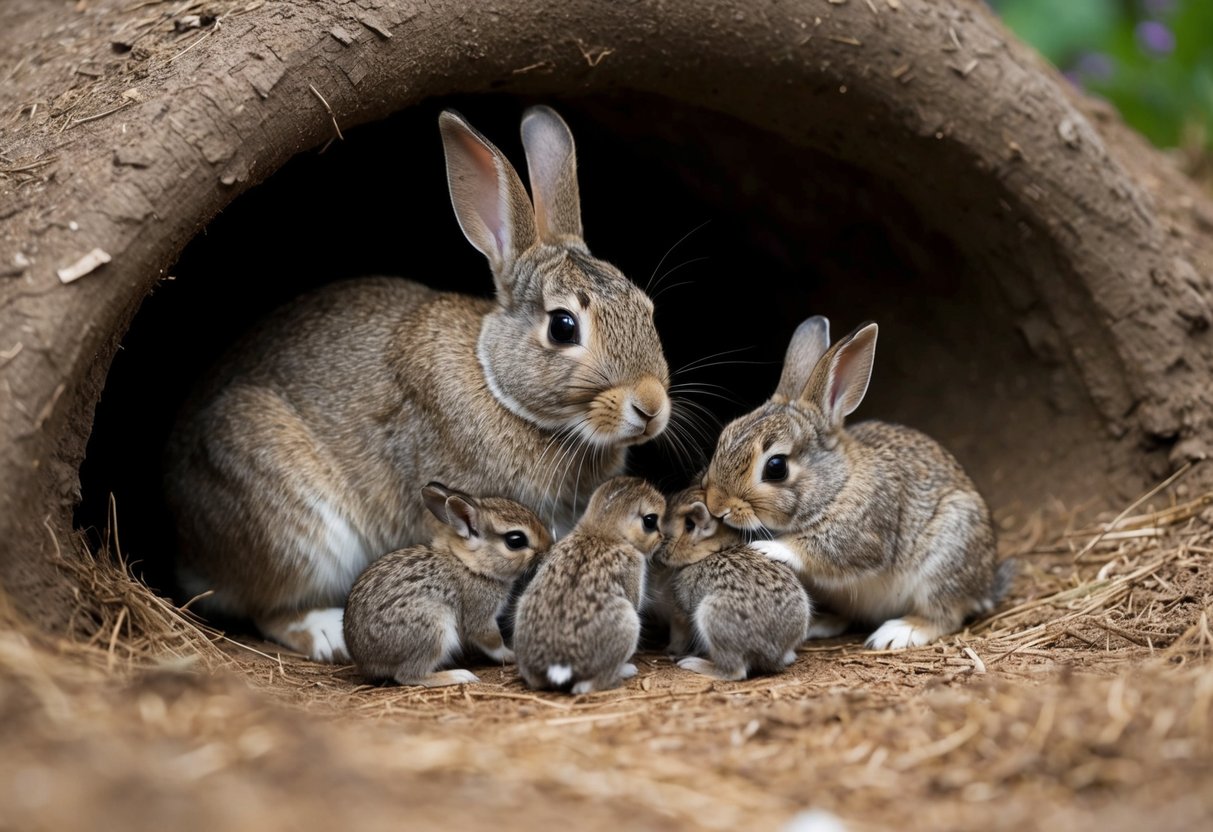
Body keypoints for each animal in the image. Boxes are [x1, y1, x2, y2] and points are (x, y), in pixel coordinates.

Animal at [163, 106, 671, 662]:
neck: (499, 386)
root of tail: (189, 549)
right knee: (269, 607)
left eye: (647, 308)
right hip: (293, 524)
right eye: (563, 327)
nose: (651, 407)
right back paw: (325, 632)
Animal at [343, 483, 552, 686]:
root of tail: (366, 661)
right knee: (409, 676)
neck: (470, 564)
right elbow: (491, 639)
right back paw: (459, 676)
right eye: (515, 540)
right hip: (434, 628)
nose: (547, 548)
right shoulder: (480, 614)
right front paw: (510, 655)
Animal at [513, 476, 666, 694]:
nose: (662, 538)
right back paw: (626, 671)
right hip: (629, 625)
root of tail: (560, 665)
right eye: (650, 521)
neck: (603, 530)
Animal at [659, 487, 811, 680]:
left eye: (688, 525)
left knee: (735, 672)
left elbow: (679, 633)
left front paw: (671, 650)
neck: (714, 551)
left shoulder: (681, 613)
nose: (659, 552)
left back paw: (693, 664)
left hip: (710, 616)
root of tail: (771, 653)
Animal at [702, 316, 1015, 650]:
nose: (717, 507)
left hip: (947, 556)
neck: (837, 485)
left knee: (944, 614)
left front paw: (767, 548)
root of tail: (985, 586)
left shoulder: (865, 533)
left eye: (776, 467)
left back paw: (899, 632)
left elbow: (821, 550)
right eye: (725, 435)